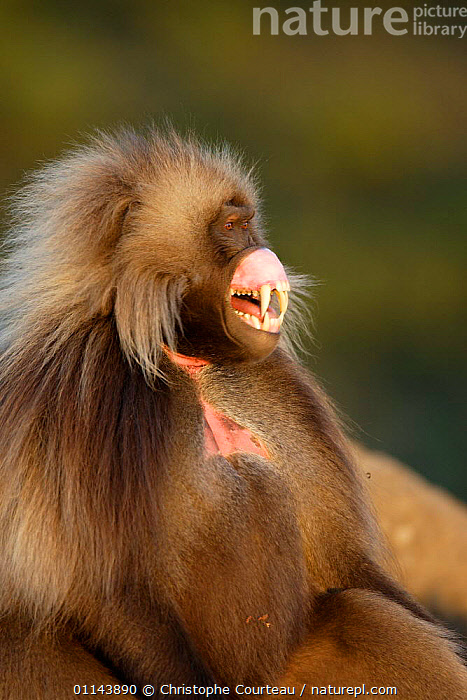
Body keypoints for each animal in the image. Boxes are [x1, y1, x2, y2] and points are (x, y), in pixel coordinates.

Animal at [0, 128, 465, 699]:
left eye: (247, 223)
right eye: (229, 227)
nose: (263, 249)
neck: (184, 360)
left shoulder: (272, 385)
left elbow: (346, 568)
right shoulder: (90, 391)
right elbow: (111, 588)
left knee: (365, 612)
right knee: (27, 641)